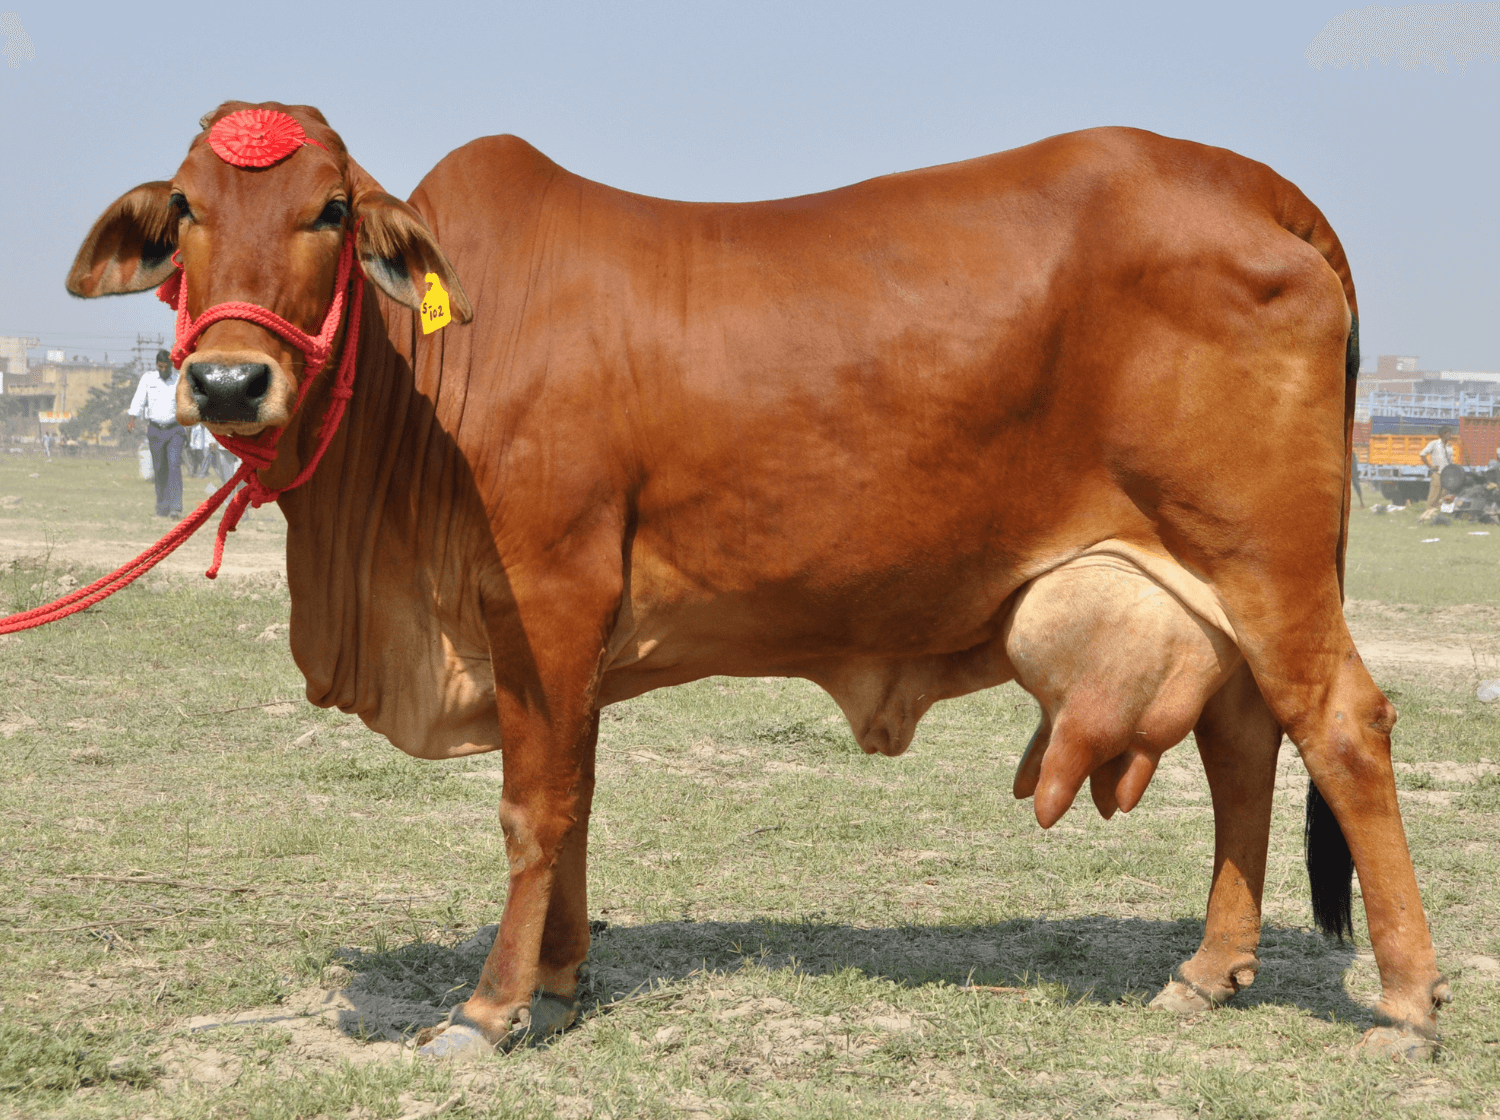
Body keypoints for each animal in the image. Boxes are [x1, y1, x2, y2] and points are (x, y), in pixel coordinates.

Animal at [66, 101, 1448, 1061]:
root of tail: (1251, 183)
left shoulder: (546, 600)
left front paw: (490, 1006)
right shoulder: (568, 641)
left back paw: (1407, 1000)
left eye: (330, 213)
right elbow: (576, 798)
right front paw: (561, 980)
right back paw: (1211, 970)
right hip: (1212, 583)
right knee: (1242, 743)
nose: (228, 382)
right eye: (187, 212)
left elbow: (532, 809)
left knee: (1342, 726)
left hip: (1266, 565)